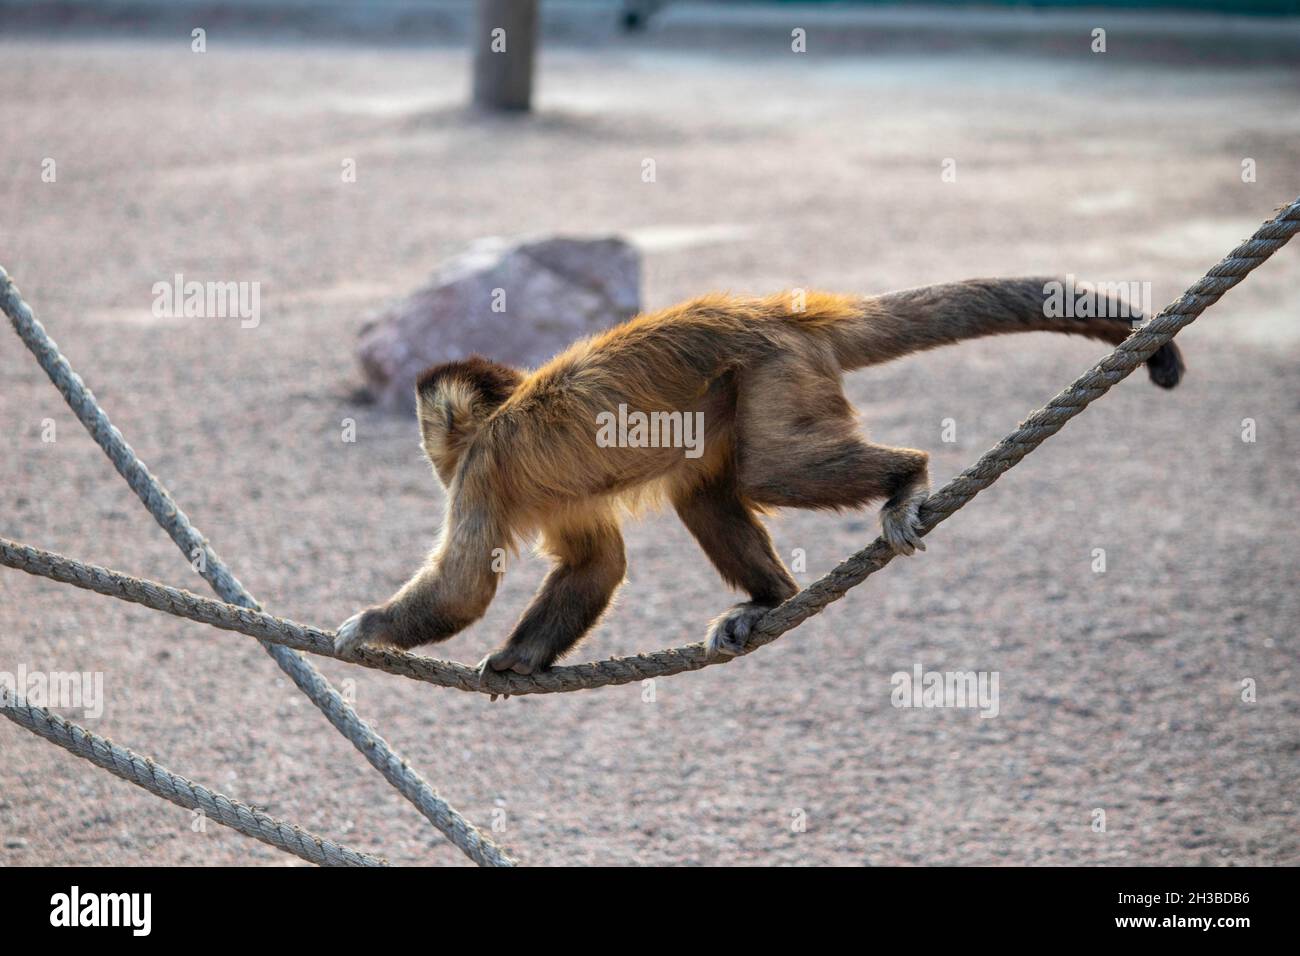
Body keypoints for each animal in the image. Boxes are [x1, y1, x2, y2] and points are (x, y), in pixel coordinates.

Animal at [334, 277, 1184, 673]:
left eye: (429, 428)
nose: (422, 446)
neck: (499, 412)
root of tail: (778, 312)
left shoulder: (479, 470)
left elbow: (462, 590)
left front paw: (368, 629)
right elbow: (596, 563)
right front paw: (522, 660)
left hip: (779, 371)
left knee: (773, 470)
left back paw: (909, 476)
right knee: (704, 487)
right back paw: (770, 600)